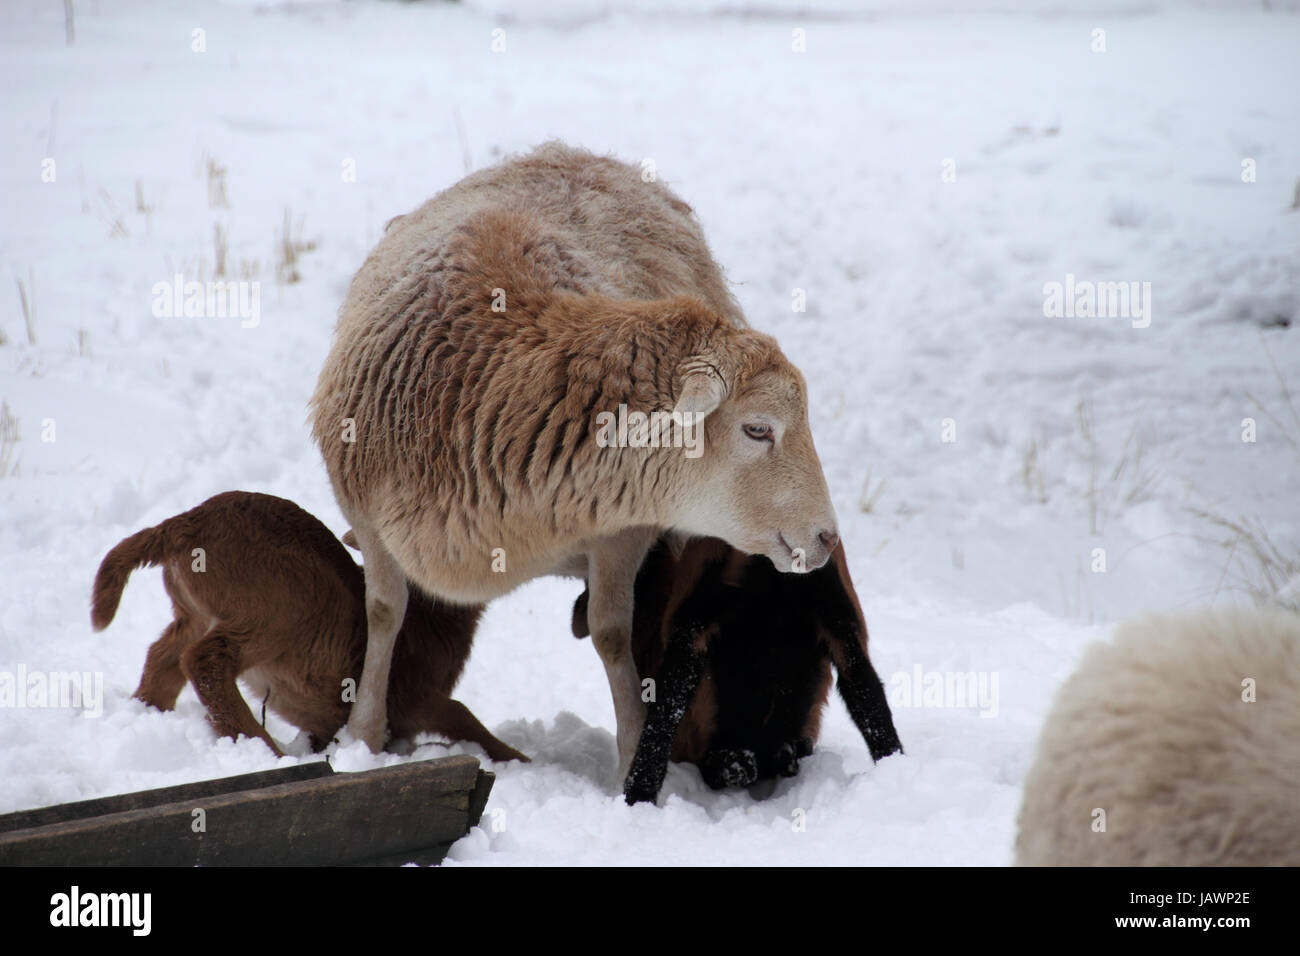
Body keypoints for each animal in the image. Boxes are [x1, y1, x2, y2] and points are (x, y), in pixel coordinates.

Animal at [90, 491, 528, 762]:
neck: (428, 613)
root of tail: (183, 526)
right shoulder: (414, 694)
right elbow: (463, 716)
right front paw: (519, 758)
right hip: (278, 608)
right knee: (205, 660)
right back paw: (266, 749)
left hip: (193, 611)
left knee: (164, 655)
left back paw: (148, 712)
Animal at [309, 142, 839, 782]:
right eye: (758, 429)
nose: (827, 538)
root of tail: (572, 151)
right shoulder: (365, 515)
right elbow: (385, 611)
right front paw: (361, 741)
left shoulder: (624, 528)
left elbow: (612, 634)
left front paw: (635, 765)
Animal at [571, 536, 902, 804]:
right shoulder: (693, 624)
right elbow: (664, 713)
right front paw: (639, 795)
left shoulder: (840, 622)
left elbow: (869, 699)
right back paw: (736, 763)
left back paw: (777, 756)